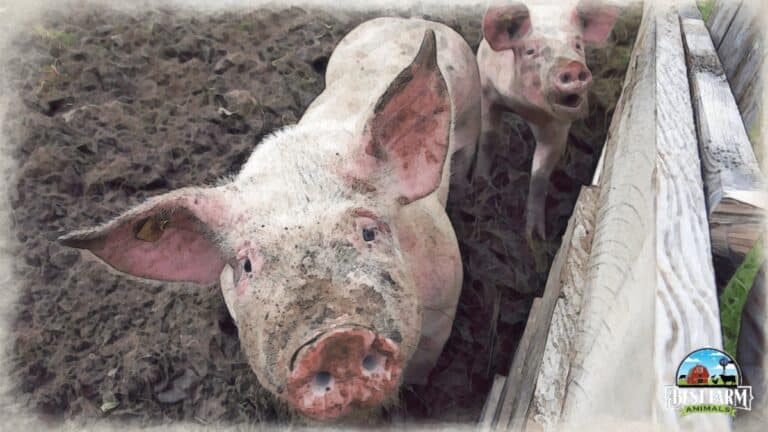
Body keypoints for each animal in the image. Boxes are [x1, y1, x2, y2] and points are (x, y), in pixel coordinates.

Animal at [475, 0, 618, 242]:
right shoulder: (487, 90)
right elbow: (488, 138)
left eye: (577, 44)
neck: (524, 108)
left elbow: (540, 173)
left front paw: (534, 237)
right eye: (530, 50)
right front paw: (480, 185)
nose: (572, 67)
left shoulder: (557, 127)